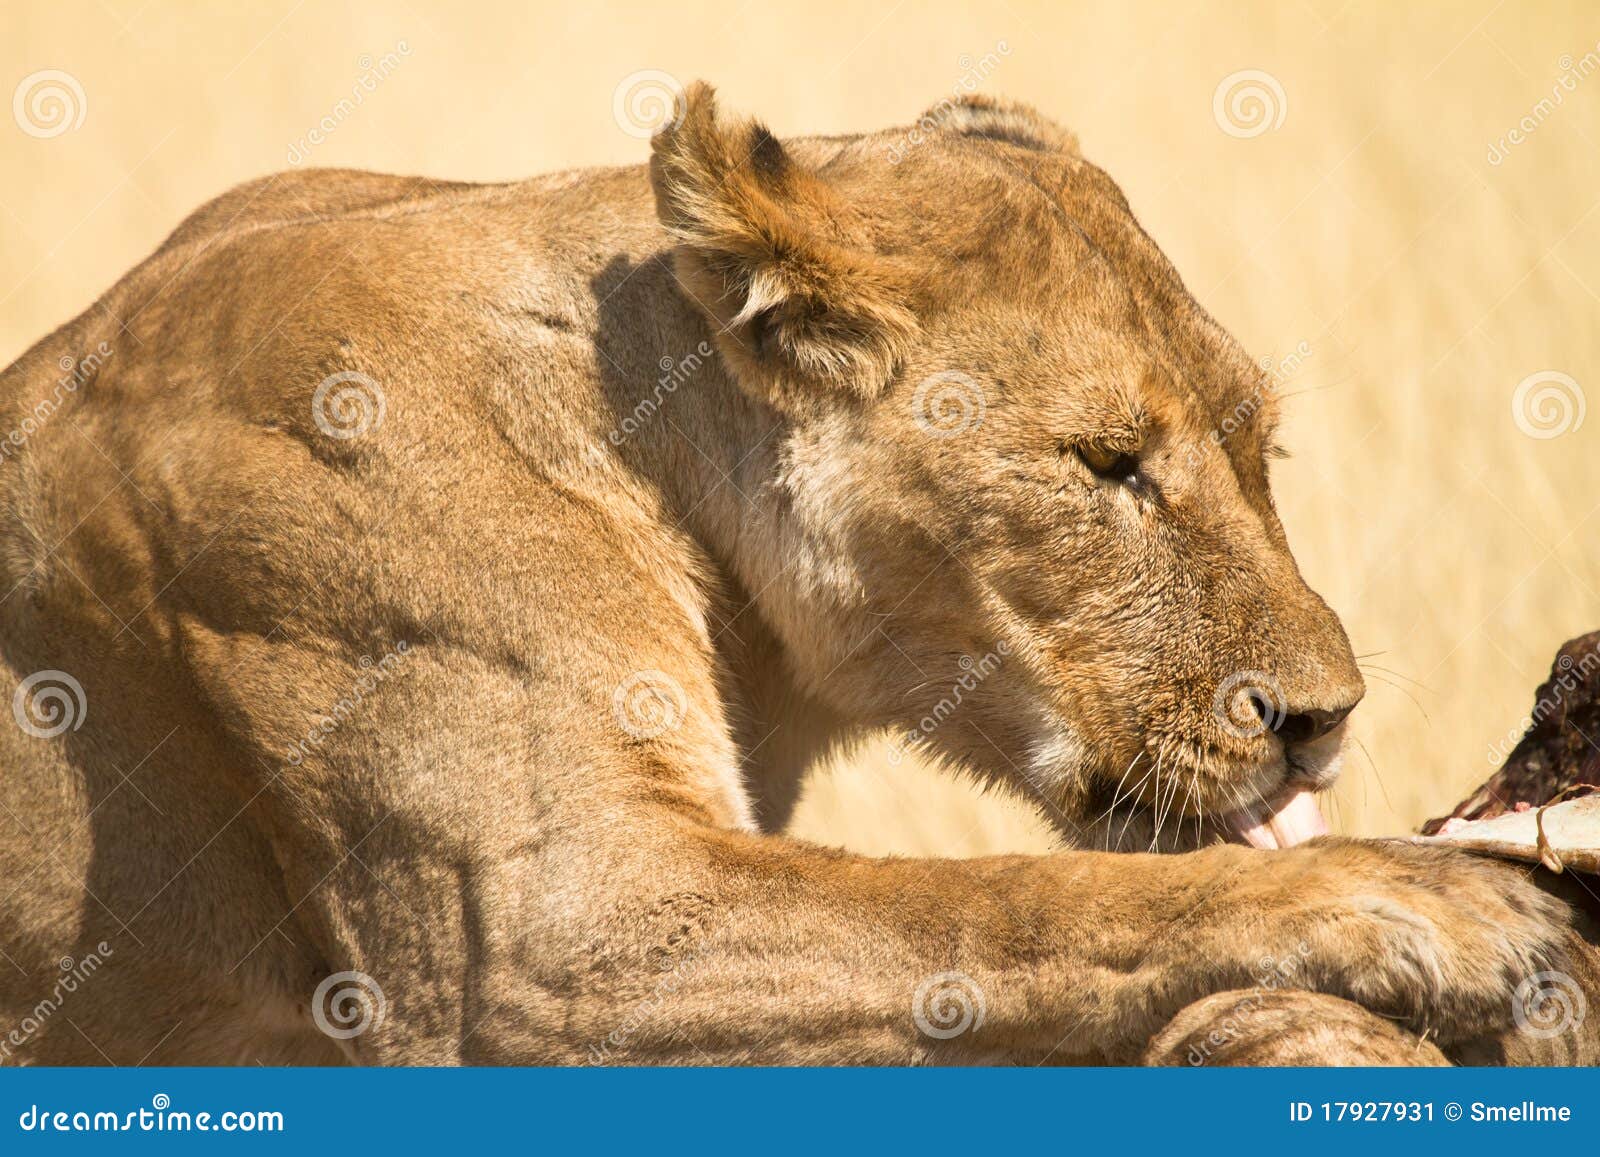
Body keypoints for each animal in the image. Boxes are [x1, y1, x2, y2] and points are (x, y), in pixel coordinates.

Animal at [0, 83, 1577, 1065]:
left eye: (1264, 445)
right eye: (1107, 465)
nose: (1325, 717)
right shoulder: (543, 950)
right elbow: (999, 904)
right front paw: (1424, 903)